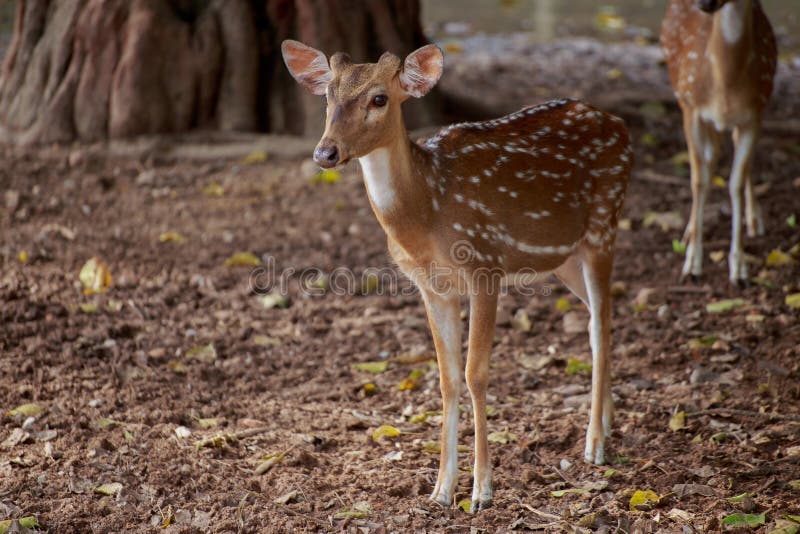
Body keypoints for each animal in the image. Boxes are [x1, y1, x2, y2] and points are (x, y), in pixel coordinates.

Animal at [282, 39, 632, 512]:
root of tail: (620, 125)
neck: (426, 213)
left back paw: (594, 444)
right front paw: (441, 490)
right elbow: (447, 379)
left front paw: (482, 490)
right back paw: (608, 425)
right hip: (564, 258)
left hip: (604, 226)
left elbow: (474, 373)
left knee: (600, 325)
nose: (325, 153)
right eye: (327, 96)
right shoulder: (432, 287)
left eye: (380, 98)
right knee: (601, 316)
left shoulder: (485, 265)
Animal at [660, 0, 777, 284]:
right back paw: (689, 231)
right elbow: (698, 180)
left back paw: (754, 220)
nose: (704, 3)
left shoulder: (753, 115)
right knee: (710, 158)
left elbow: (735, 183)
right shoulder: (690, 108)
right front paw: (692, 264)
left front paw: (739, 268)